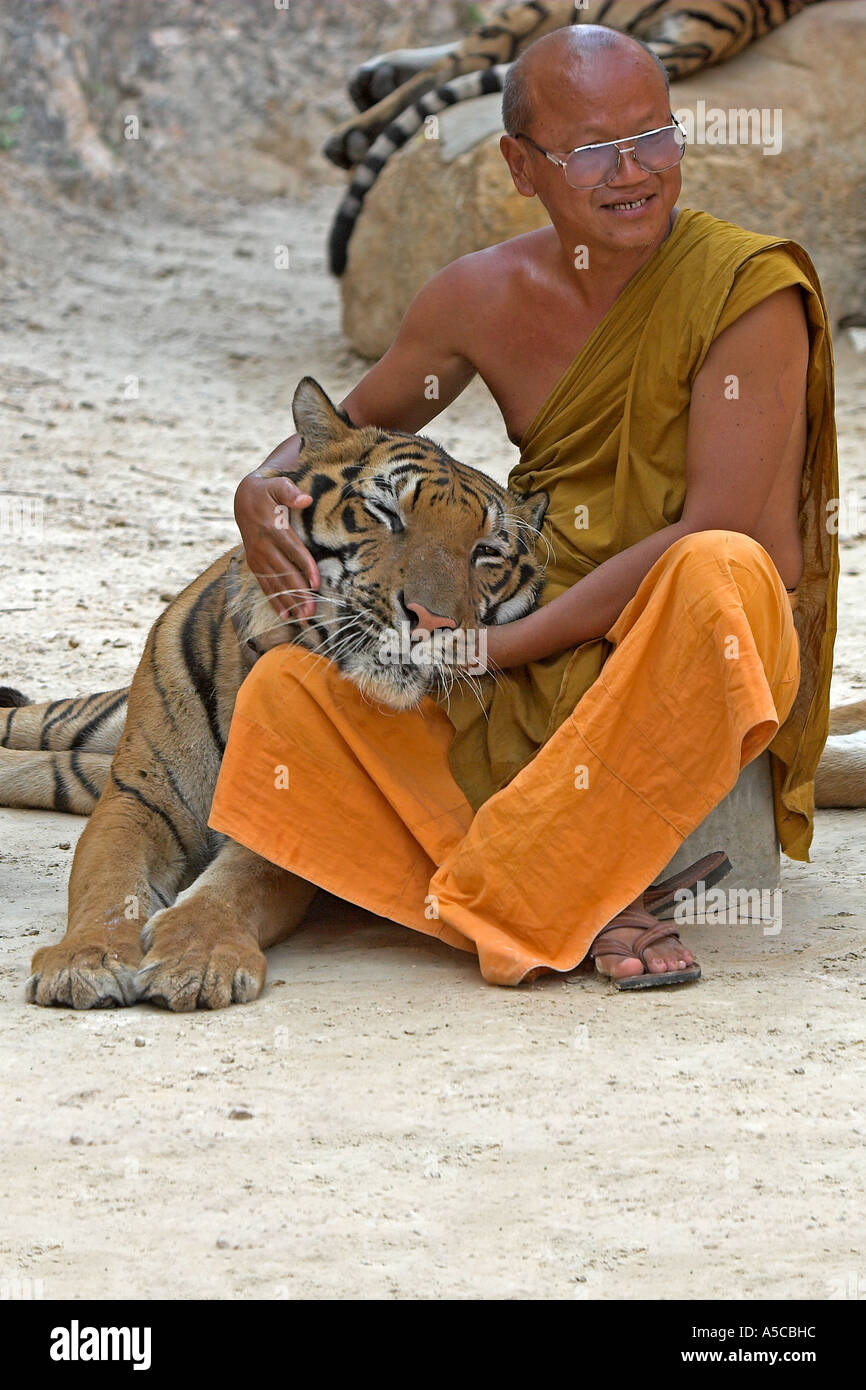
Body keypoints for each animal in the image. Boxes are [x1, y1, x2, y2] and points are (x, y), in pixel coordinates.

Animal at [0, 377, 549, 1012]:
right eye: (385, 513)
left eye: (487, 552)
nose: (432, 620)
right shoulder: (139, 800)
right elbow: (109, 882)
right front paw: (83, 961)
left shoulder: (286, 824)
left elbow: (239, 884)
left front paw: (196, 960)